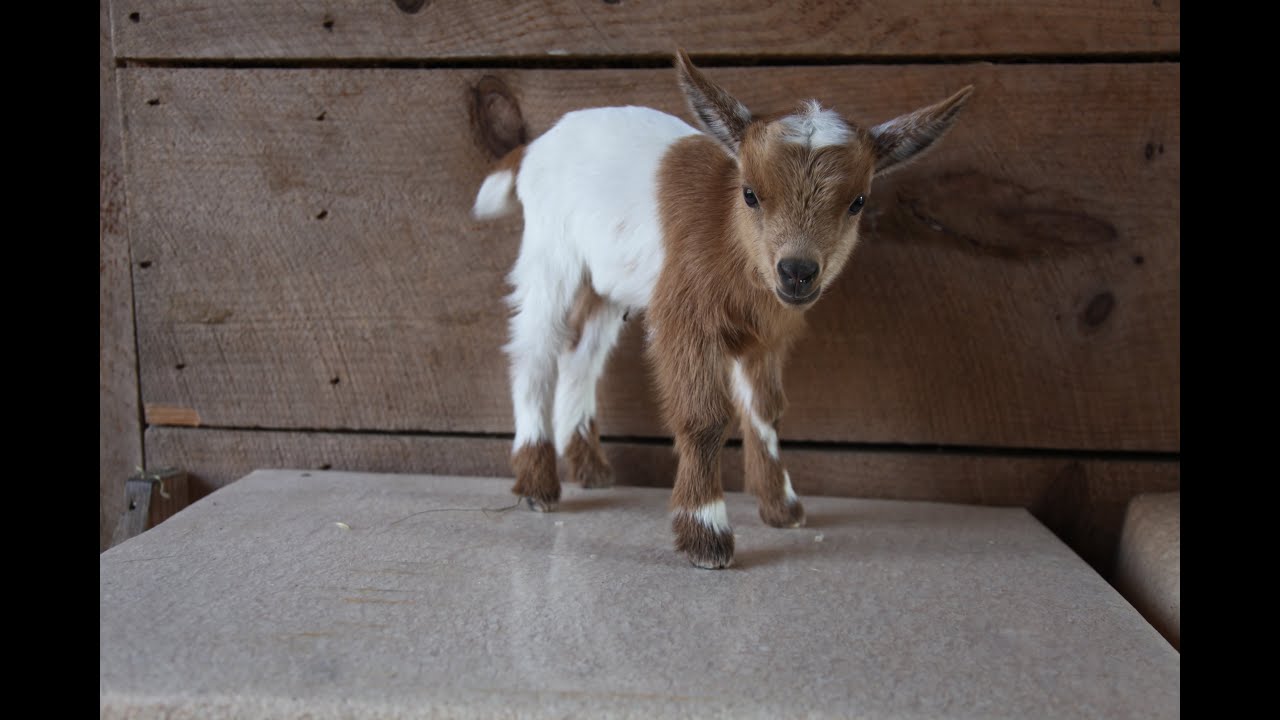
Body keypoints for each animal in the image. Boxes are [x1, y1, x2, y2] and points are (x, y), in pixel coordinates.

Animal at [473, 50, 972, 569]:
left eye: (857, 202)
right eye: (750, 193)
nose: (797, 272)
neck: (730, 238)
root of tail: (534, 147)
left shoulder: (764, 337)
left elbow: (766, 410)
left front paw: (782, 507)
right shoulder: (685, 318)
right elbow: (705, 418)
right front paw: (706, 534)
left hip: (606, 280)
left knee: (582, 353)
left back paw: (590, 468)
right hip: (550, 250)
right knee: (534, 349)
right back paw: (537, 484)